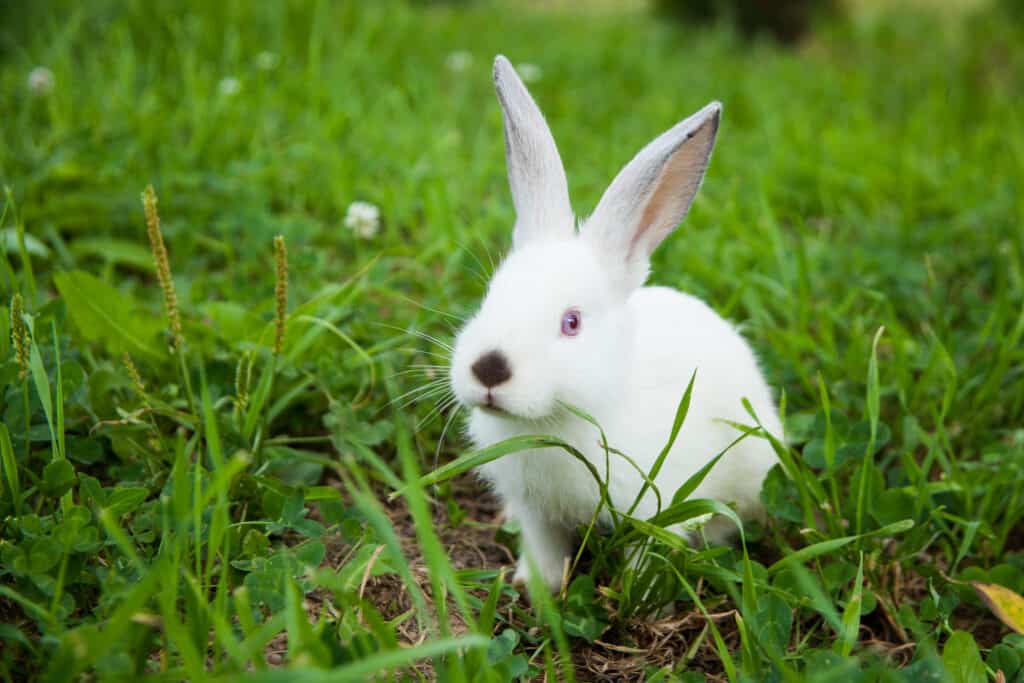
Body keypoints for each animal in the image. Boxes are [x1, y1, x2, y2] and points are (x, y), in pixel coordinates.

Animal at [448, 56, 782, 593]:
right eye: (489, 297)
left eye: (572, 322)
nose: (489, 370)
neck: (559, 420)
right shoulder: (535, 510)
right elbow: (543, 546)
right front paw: (537, 587)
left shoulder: (656, 508)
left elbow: (646, 552)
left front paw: (633, 590)